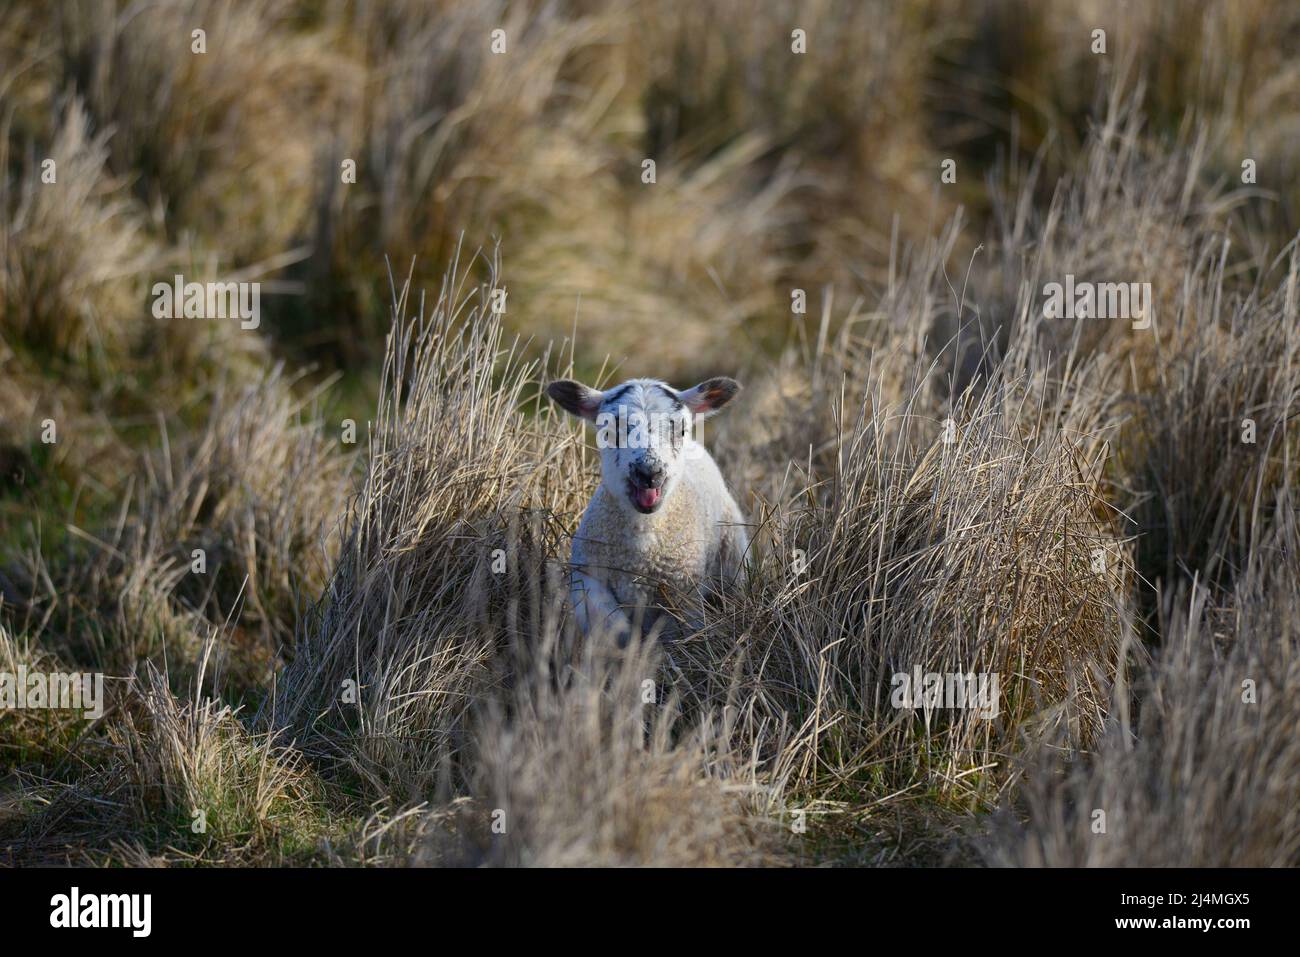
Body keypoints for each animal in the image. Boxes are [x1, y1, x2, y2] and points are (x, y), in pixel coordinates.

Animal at [546, 375, 749, 644]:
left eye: (681, 430)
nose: (649, 473)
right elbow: (613, 629)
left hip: (733, 555)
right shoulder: (587, 578)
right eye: (608, 431)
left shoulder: (685, 593)